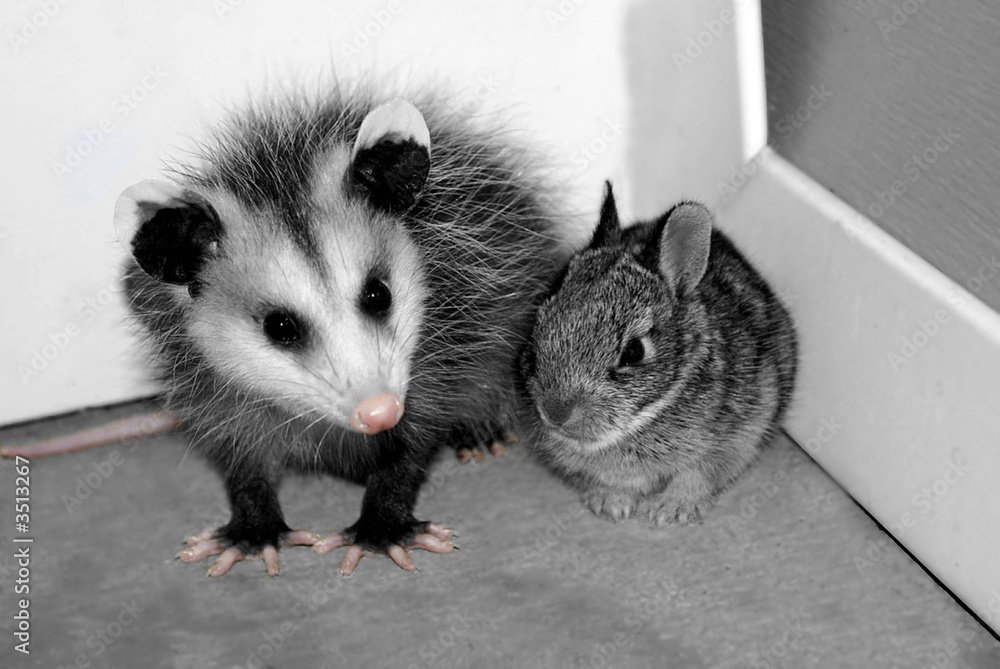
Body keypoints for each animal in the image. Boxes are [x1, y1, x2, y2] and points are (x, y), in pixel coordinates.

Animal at [518, 182, 798, 525]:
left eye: (633, 352)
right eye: (541, 322)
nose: (555, 412)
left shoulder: (738, 434)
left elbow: (695, 477)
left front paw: (669, 511)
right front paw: (611, 504)